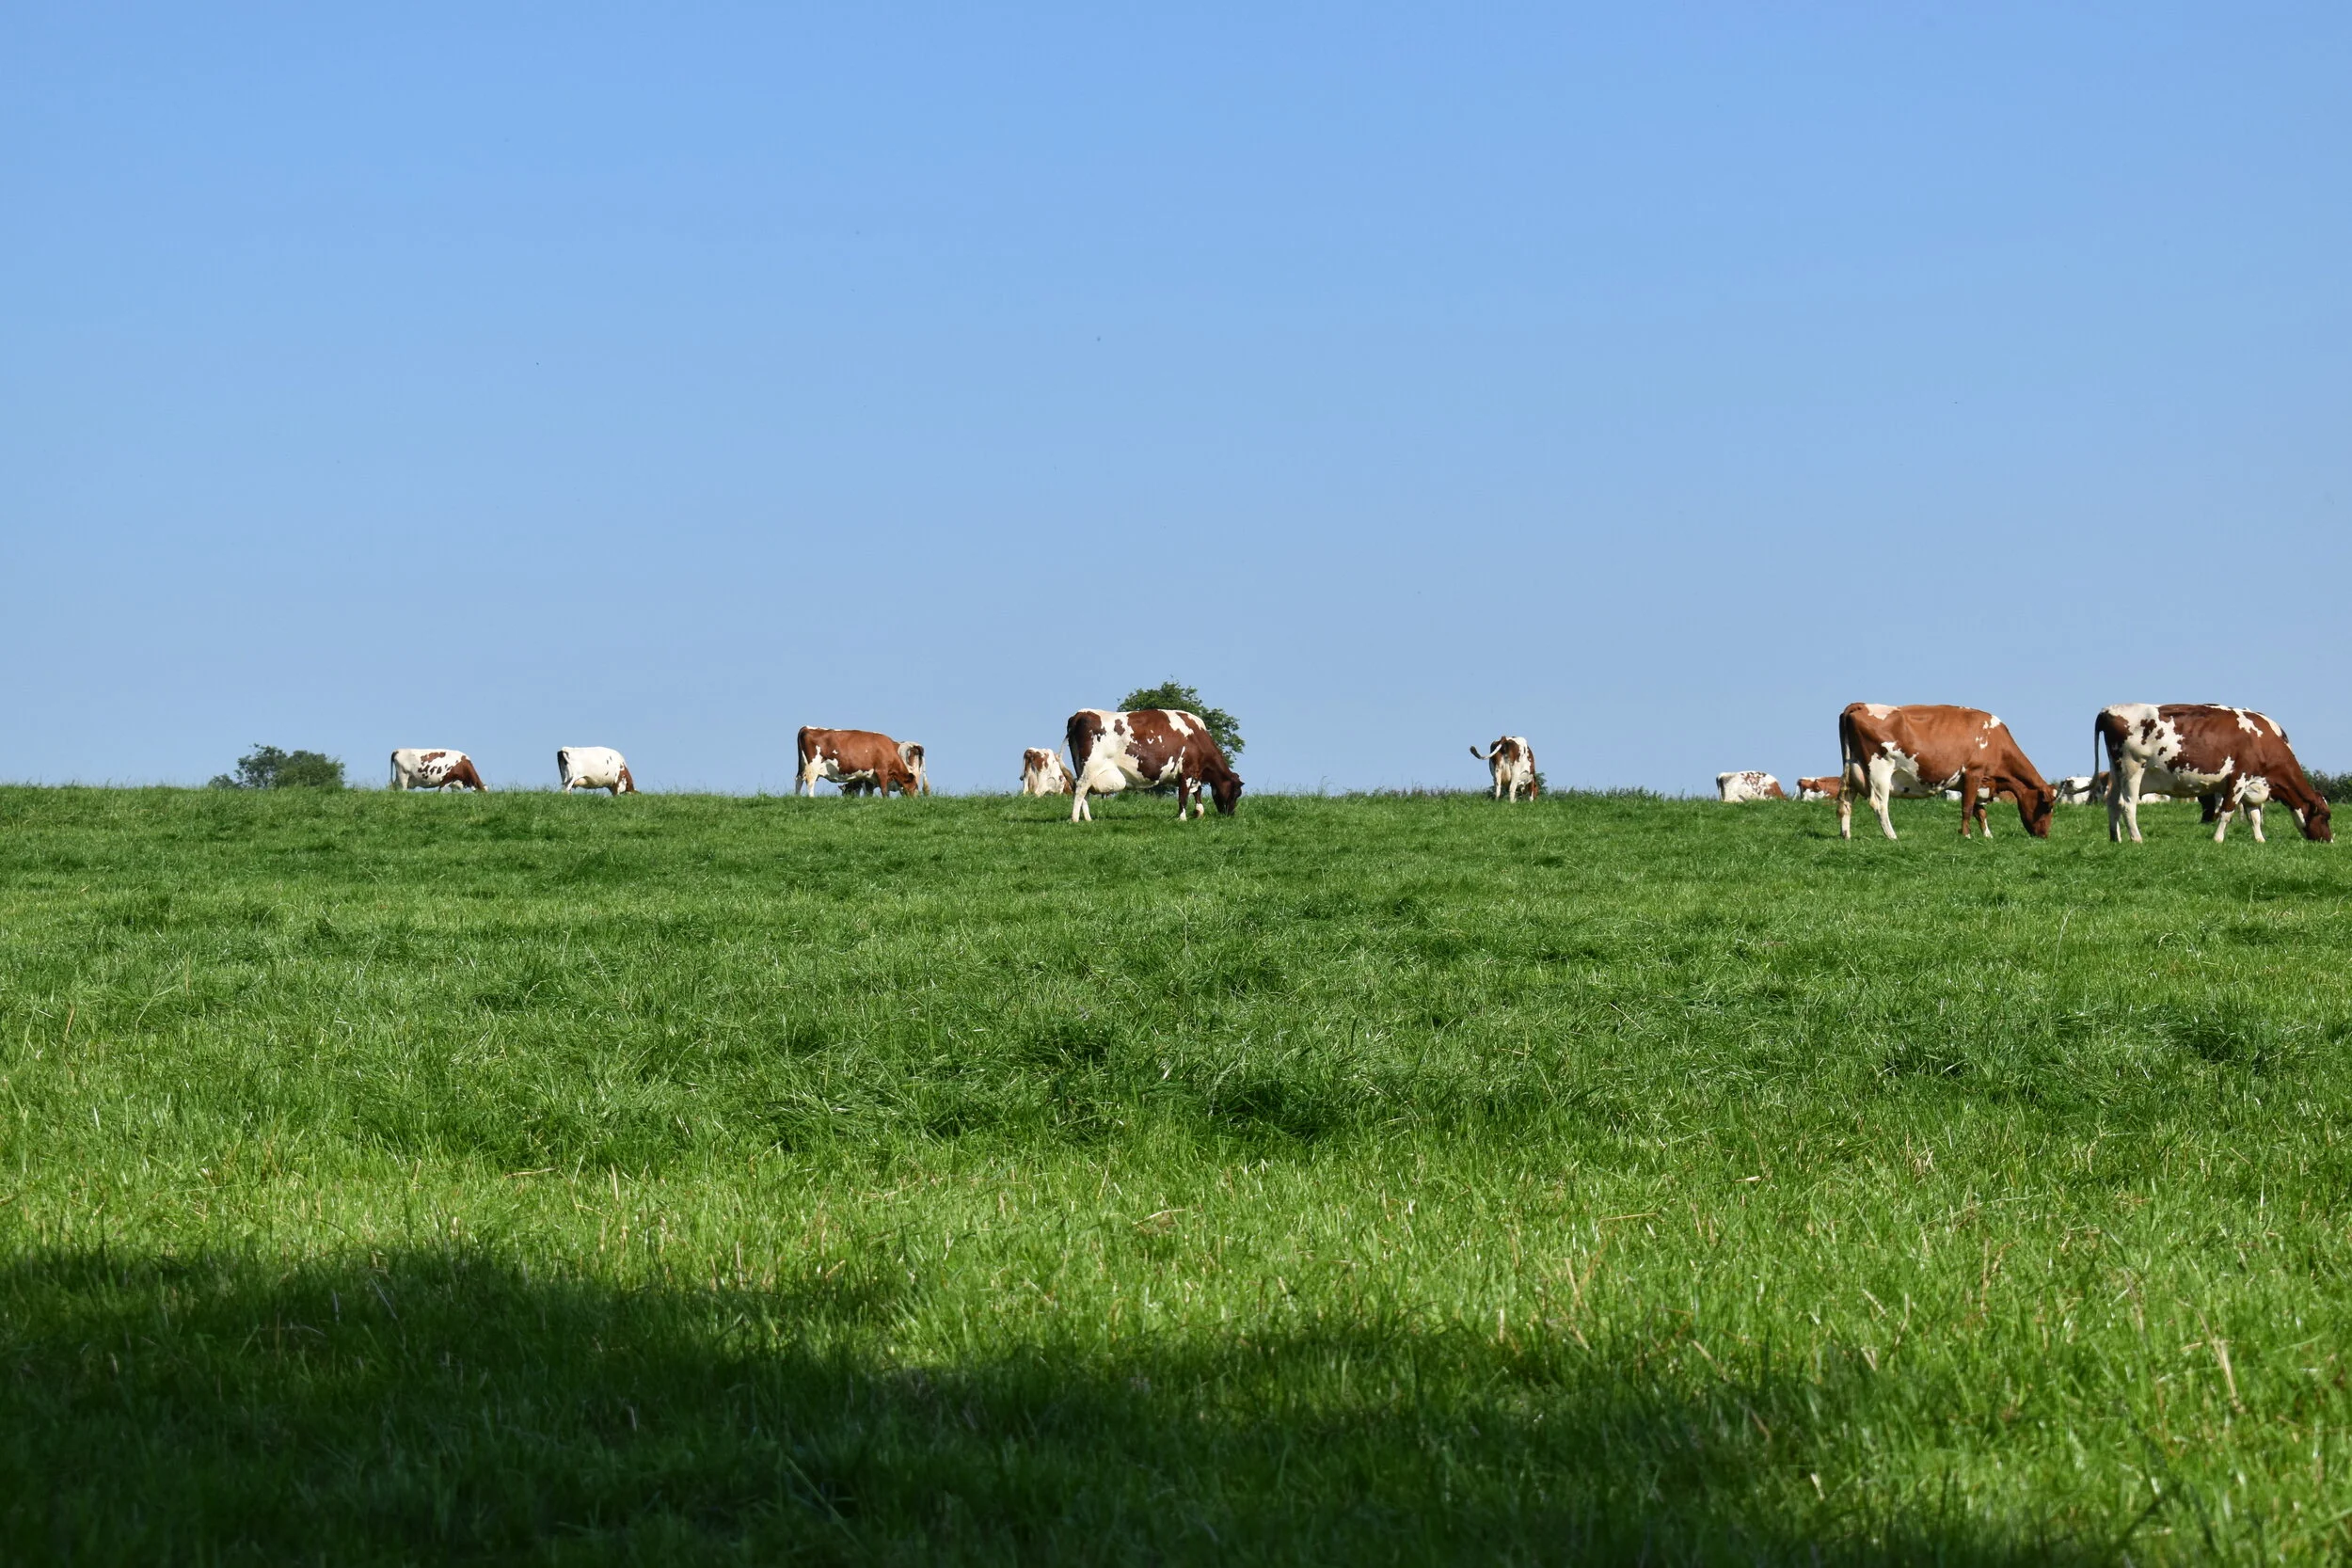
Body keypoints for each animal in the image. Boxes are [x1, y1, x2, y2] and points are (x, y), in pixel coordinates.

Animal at [797, 728, 925, 798]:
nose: (915, 800)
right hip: (813, 766)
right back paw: (811, 798)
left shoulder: (869, 778)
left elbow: (869, 793)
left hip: (802, 765)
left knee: (799, 779)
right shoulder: (881, 771)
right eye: (914, 787)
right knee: (810, 781)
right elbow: (884, 791)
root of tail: (806, 728)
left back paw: (796, 797)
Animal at [1066, 709, 1242, 822]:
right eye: (1236, 793)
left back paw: (1088, 819)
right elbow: (1183, 796)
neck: (1197, 736)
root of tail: (1081, 713)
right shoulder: (1187, 771)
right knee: (1081, 789)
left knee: (1084, 792)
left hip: (1083, 768)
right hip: (1090, 766)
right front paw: (1182, 818)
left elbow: (1196, 792)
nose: (1231, 814)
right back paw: (1075, 819)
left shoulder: (1194, 772)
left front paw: (1198, 812)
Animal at [1837, 703, 2055, 841]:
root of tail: (1861, 705)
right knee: (1880, 805)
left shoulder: (1981, 782)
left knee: (1846, 801)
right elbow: (1967, 808)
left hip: (1852, 770)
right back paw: (1892, 836)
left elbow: (1980, 811)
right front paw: (1966, 835)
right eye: (2047, 807)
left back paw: (1846, 836)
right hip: (1879, 771)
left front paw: (1987, 836)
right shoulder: (1973, 774)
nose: (2044, 836)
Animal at [2096, 704, 2332, 844]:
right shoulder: (2239, 778)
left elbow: (2255, 816)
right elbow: (2227, 811)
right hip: (2132, 769)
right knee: (2128, 805)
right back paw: (2136, 838)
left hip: (2116, 771)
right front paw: (2218, 839)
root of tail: (2109, 710)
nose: (2329, 840)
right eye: (2326, 816)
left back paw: (2115, 838)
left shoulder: (2254, 785)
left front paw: (2260, 840)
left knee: (2112, 803)